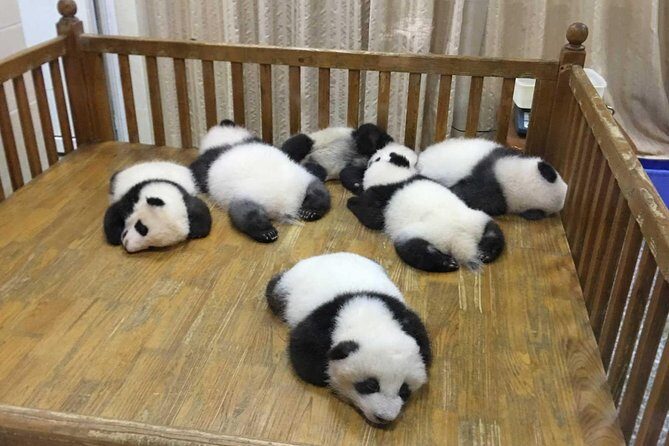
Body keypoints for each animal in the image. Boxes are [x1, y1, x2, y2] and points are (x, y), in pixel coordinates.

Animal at [265, 252, 431, 426]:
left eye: (404, 390)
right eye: (371, 385)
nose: (384, 417)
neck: (369, 317)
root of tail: (327, 255)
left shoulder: (401, 314)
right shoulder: (324, 322)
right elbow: (303, 356)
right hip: (286, 288)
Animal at [347, 146, 505, 272]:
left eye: (376, 158)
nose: (373, 156)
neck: (392, 176)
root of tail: (459, 238)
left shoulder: (379, 194)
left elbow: (371, 217)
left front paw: (352, 202)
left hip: (422, 232)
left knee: (413, 250)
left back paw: (447, 263)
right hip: (475, 218)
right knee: (493, 231)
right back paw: (486, 253)